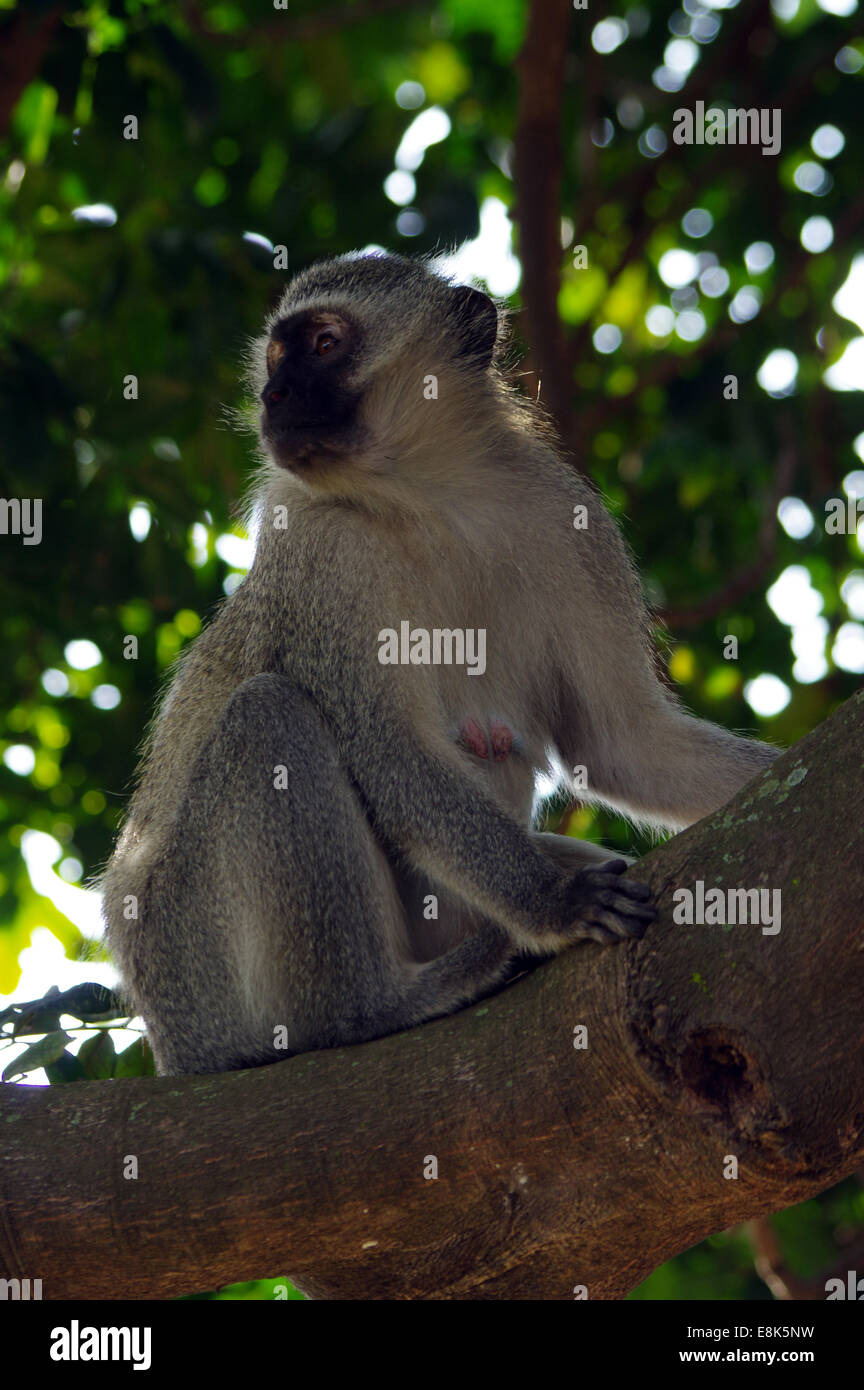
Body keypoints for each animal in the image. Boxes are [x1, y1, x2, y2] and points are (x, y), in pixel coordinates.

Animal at [102, 250, 779, 1077]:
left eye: (323, 344)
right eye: (276, 357)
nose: (273, 395)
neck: (430, 498)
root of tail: (173, 1042)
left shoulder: (569, 522)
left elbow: (624, 743)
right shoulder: (322, 552)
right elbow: (391, 750)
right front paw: (555, 906)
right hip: (195, 963)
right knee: (269, 716)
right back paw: (370, 1008)